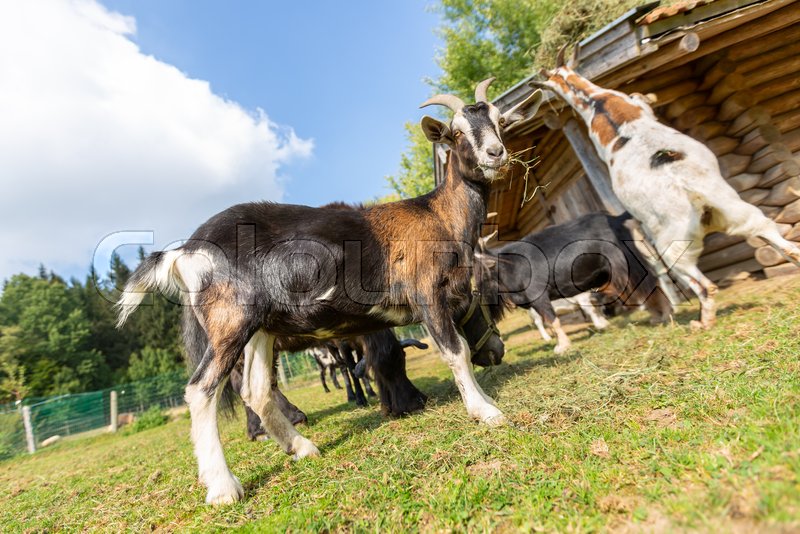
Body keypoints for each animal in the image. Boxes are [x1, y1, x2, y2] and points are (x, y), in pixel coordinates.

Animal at [116, 78, 542, 505]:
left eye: (499, 122)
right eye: (456, 132)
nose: (495, 153)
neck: (439, 215)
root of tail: (184, 250)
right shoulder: (427, 293)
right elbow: (456, 352)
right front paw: (486, 411)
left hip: (260, 330)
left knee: (256, 389)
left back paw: (302, 447)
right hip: (229, 321)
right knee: (201, 390)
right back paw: (223, 487)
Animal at [477, 212, 672, 354]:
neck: (505, 266)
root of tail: (617, 219)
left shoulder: (538, 294)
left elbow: (553, 320)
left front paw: (562, 347)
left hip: (625, 261)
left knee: (649, 282)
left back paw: (664, 315)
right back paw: (658, 315)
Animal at [532, 52, 800, 329]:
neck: (599, 103)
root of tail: (695, 196)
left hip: (671, 249)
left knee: (705, 287)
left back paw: (700, 323)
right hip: (738, 212)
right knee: (776, 238)